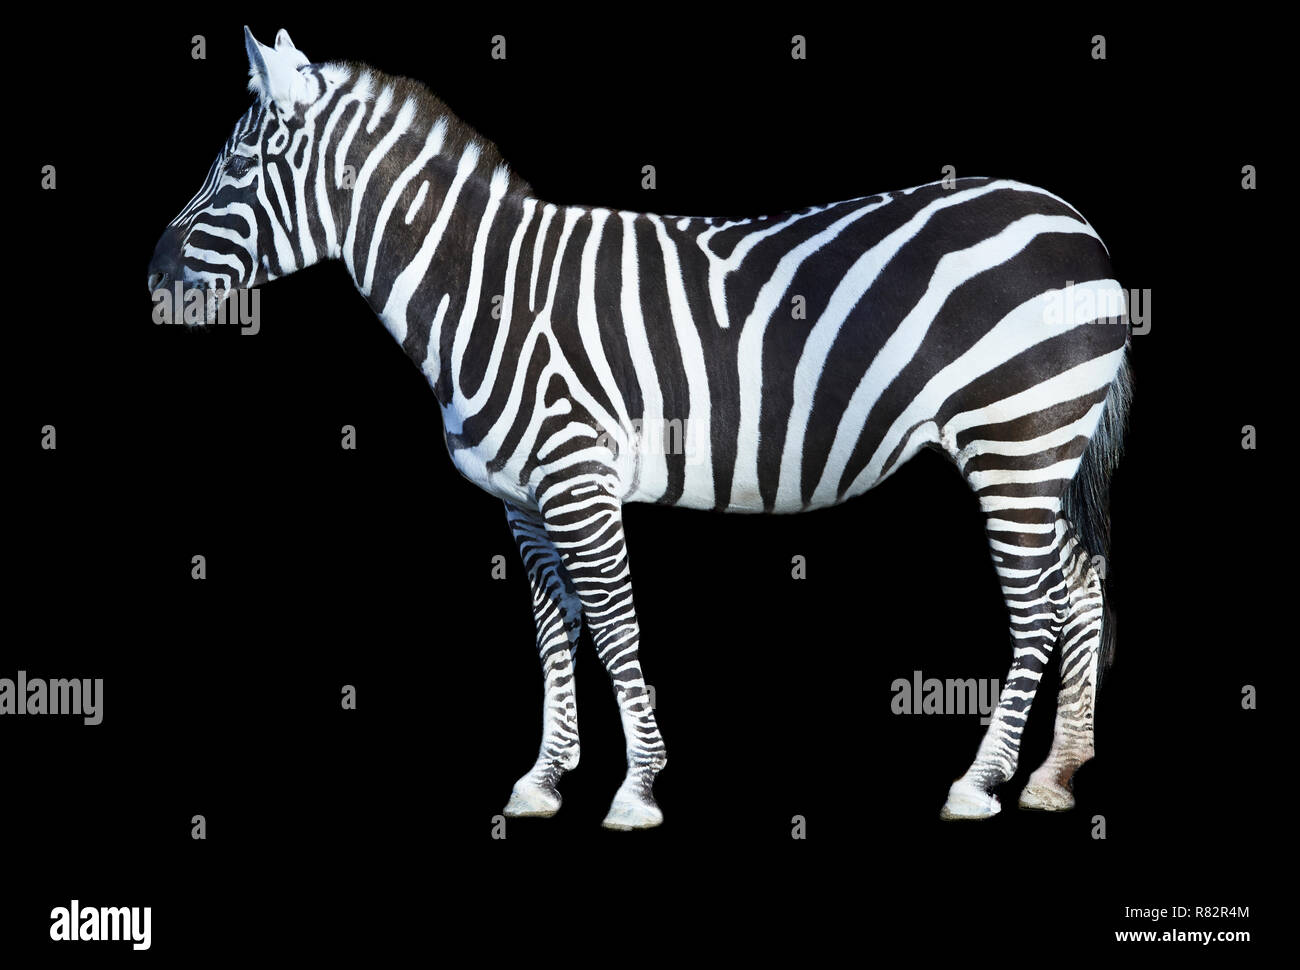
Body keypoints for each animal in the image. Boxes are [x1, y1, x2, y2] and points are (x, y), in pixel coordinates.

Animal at [148, 27, 1132, 829]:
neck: (484, 295)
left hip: (1013, 440)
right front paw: (544, 779)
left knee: (1039, 606)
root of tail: (1076, 224)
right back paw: (1056, 773)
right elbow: (555, 634)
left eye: (239, 165)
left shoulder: (576, 478)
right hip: (1045, 450)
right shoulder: (524, 501)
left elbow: (617, 629)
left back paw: (982, 780)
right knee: (1082, 587)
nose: (153, 273)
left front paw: (637, 790)